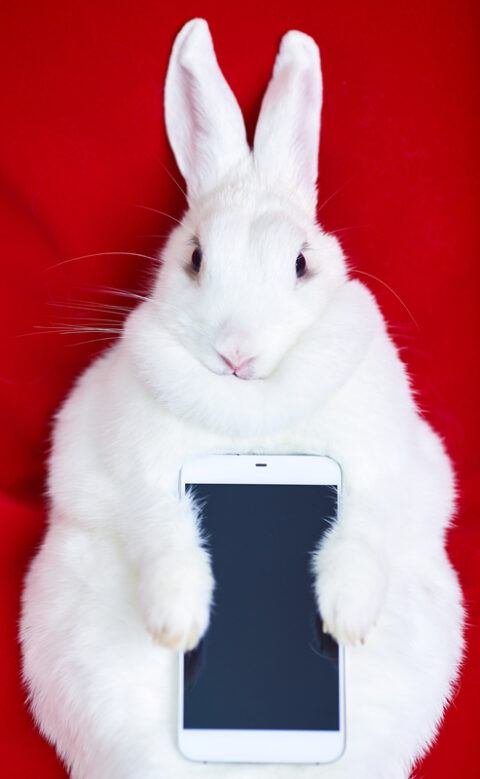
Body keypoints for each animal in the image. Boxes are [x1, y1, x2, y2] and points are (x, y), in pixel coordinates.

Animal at [20, 17, 464, 779]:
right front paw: (177, 621)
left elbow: (362, 527)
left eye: (301, 262)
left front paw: (347, 617)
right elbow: (163, 529)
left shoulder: (383, 464)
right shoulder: (137, 468)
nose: (237, 353)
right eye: (195, 258)